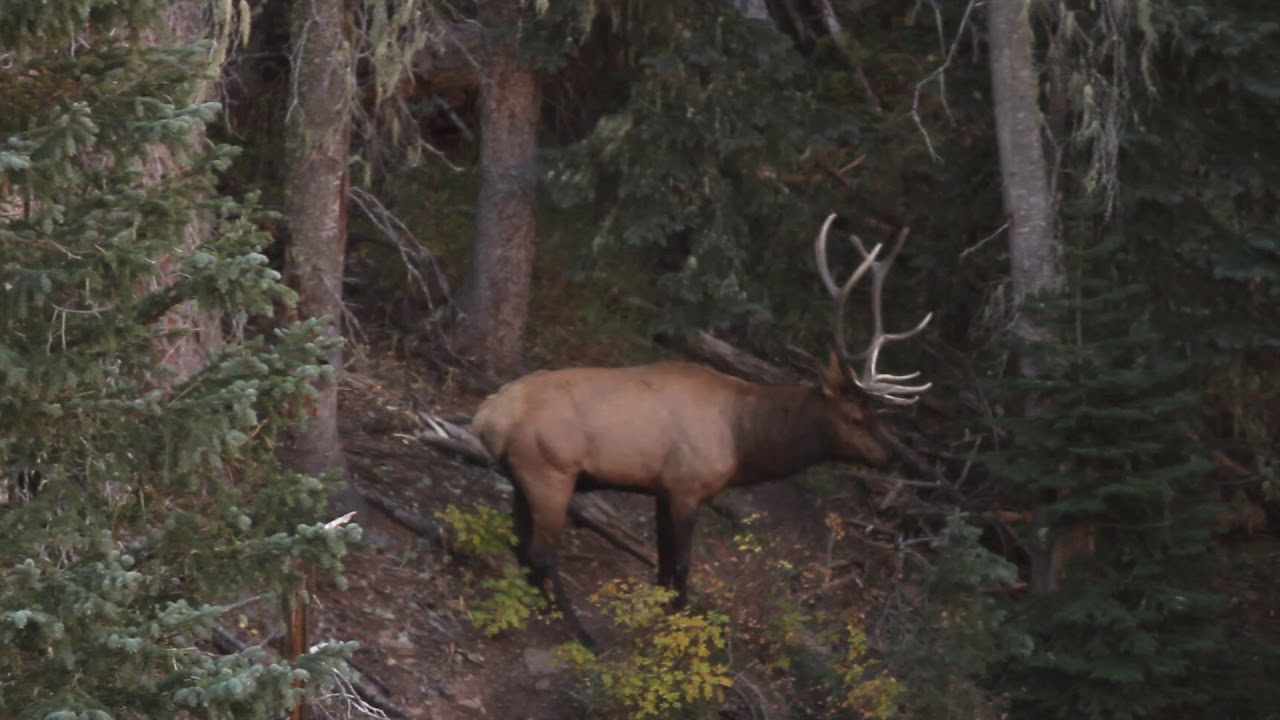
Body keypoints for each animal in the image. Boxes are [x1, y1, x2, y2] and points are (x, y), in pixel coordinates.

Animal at [470, 214, 932, 646]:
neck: (743, 439)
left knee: (520, 545)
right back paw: (582, 634)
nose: (892, 455)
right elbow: (682, 565)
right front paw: (680, 626)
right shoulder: (687, 486)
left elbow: (661, 565)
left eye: (876, 414)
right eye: (857, 416)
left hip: (521, 476)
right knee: (542, 553)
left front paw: (659, 620)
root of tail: (486, 417)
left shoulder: (661, 488)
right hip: (550, 472)